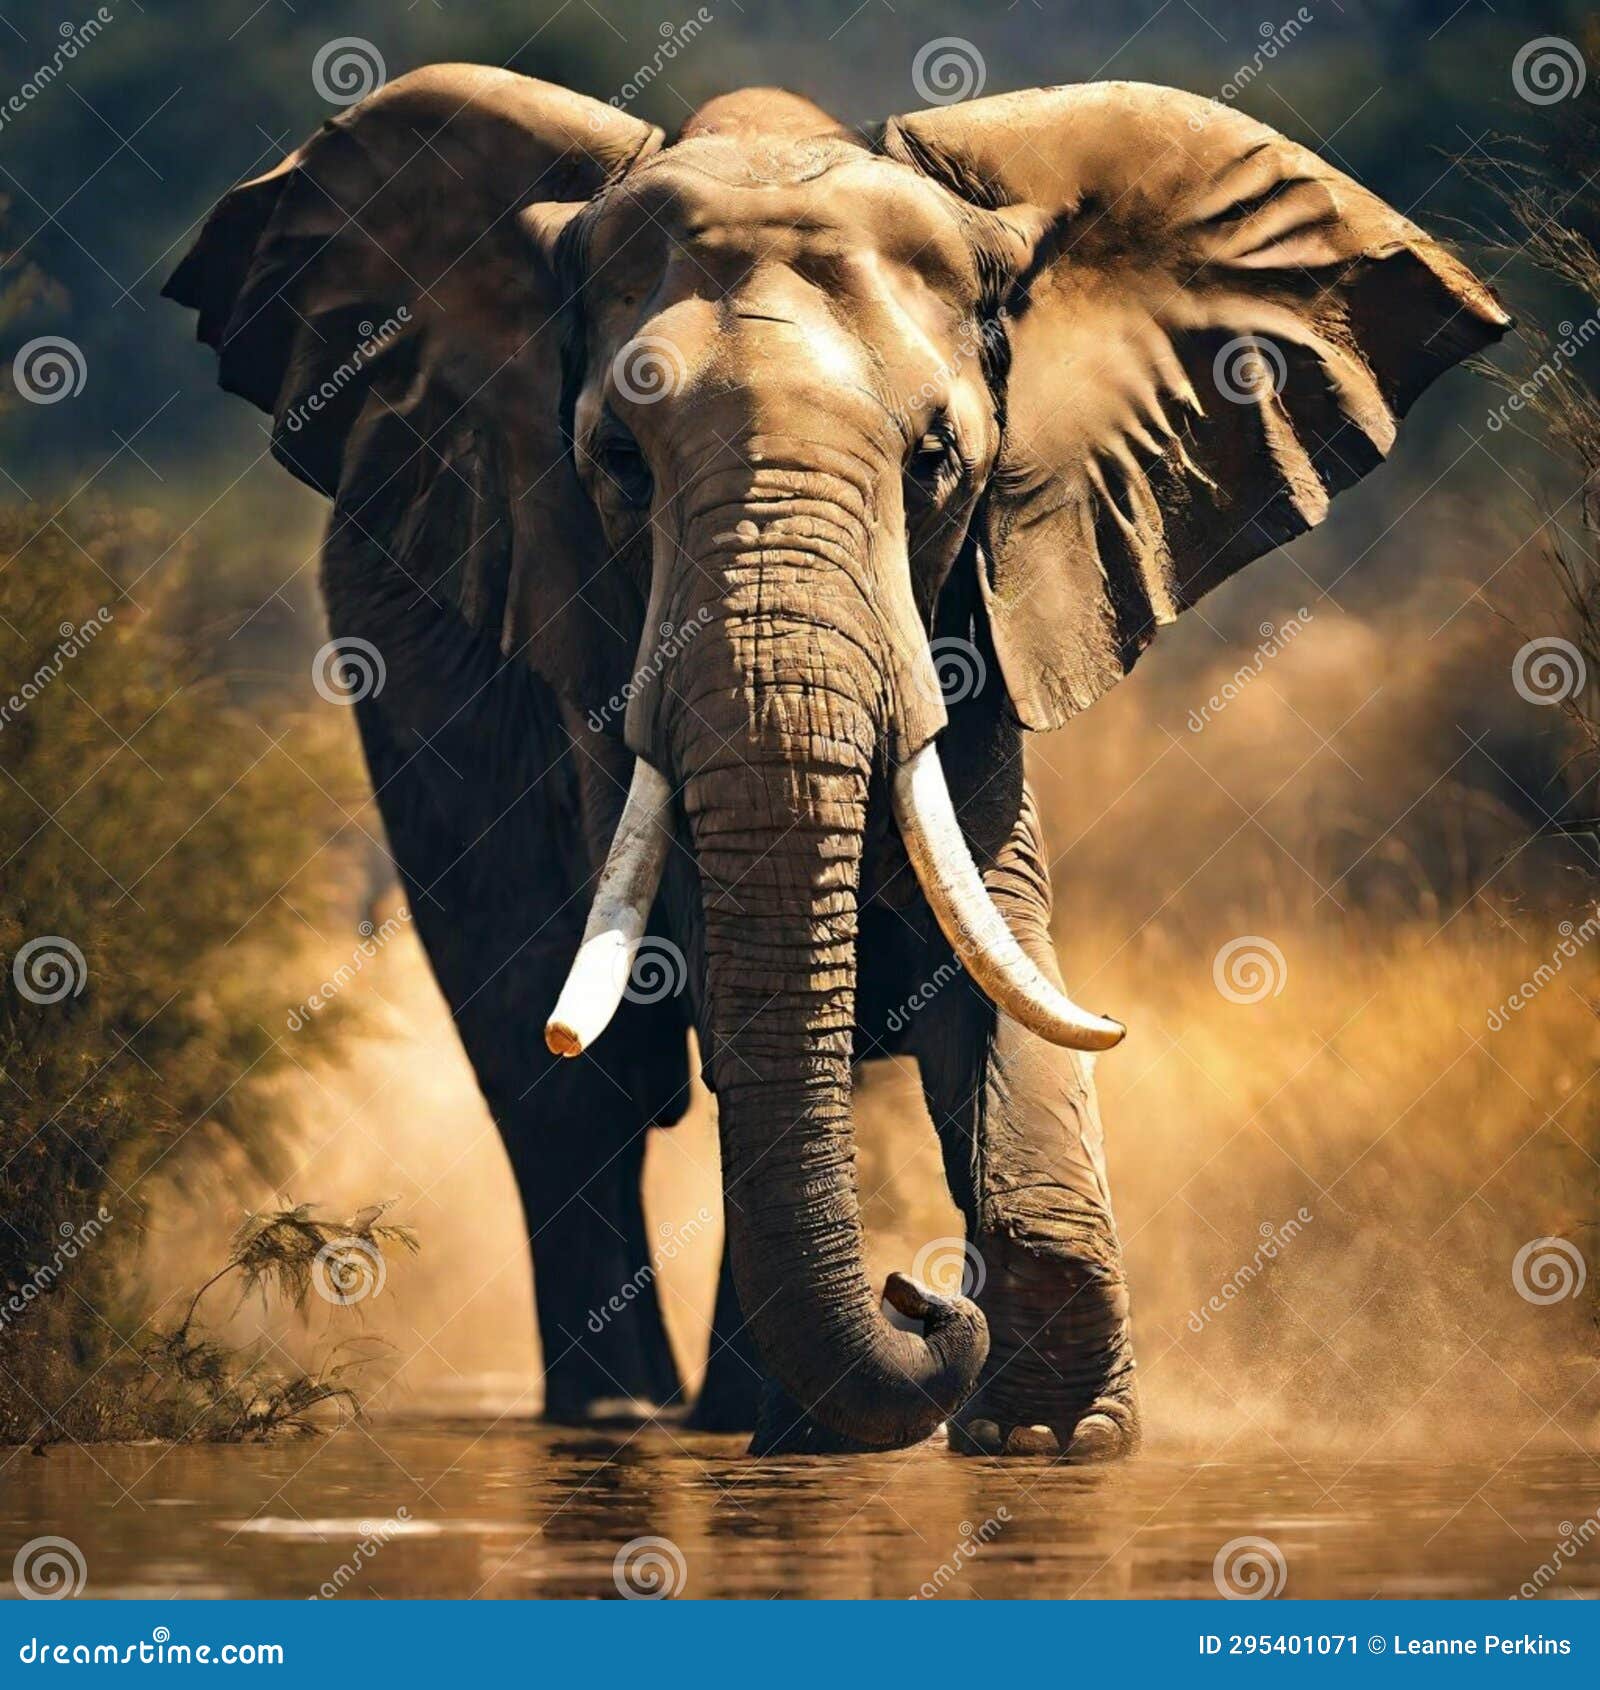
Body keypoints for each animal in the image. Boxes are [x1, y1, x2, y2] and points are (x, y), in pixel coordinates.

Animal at [166, 67, 1507, 1457]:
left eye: (936, 462)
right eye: (618, 464)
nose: (920, 1293)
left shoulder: (983, 613)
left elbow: (992, 944)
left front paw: (1050, 1439)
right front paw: (871, 1416)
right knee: (562, 1087)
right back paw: (631, 1414)